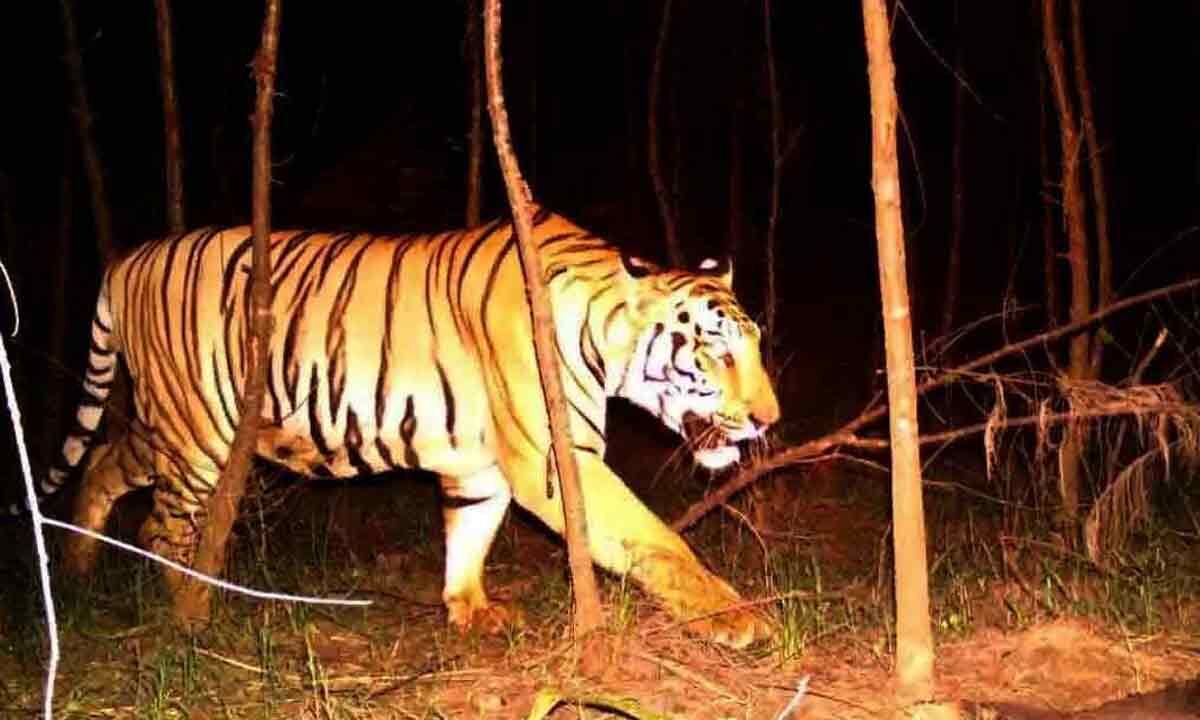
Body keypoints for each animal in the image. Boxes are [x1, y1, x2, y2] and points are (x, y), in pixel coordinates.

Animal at [36, 208, 780, 647]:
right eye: (717, 351)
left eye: (755, 345)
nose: (768, 420)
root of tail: (127, 259)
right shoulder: (554, 458)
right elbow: (655, 540)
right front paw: (737, 617)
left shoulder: (481, 465)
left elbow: (470, 533)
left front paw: (470, 609)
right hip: (198, 434)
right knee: (161, 527)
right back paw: (191, 612)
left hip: (172, 423)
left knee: (102, 463)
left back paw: (75, 566)